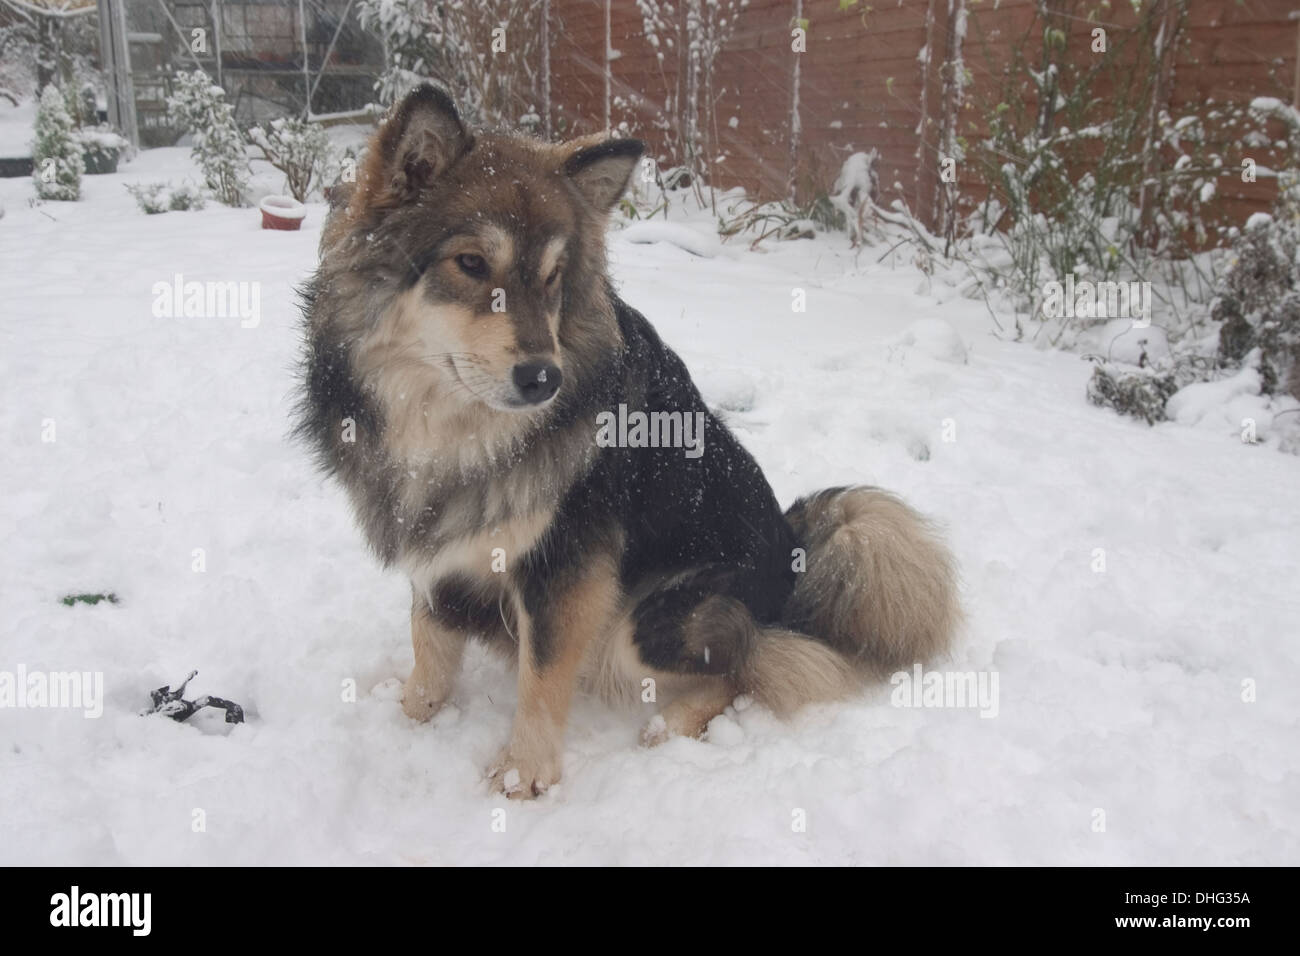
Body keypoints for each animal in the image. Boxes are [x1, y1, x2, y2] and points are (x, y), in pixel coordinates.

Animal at [298, 85, 960, 798]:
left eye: (555, 277)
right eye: (471, 264)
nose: (545, 379)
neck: (448, 424)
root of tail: (796, 556)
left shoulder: (568, 568)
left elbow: (542, 675)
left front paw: (524, 774)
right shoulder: (432, 541)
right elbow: (430, 640)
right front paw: (413, 713)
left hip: (646, 623)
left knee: (753, 668)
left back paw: (671, 726)